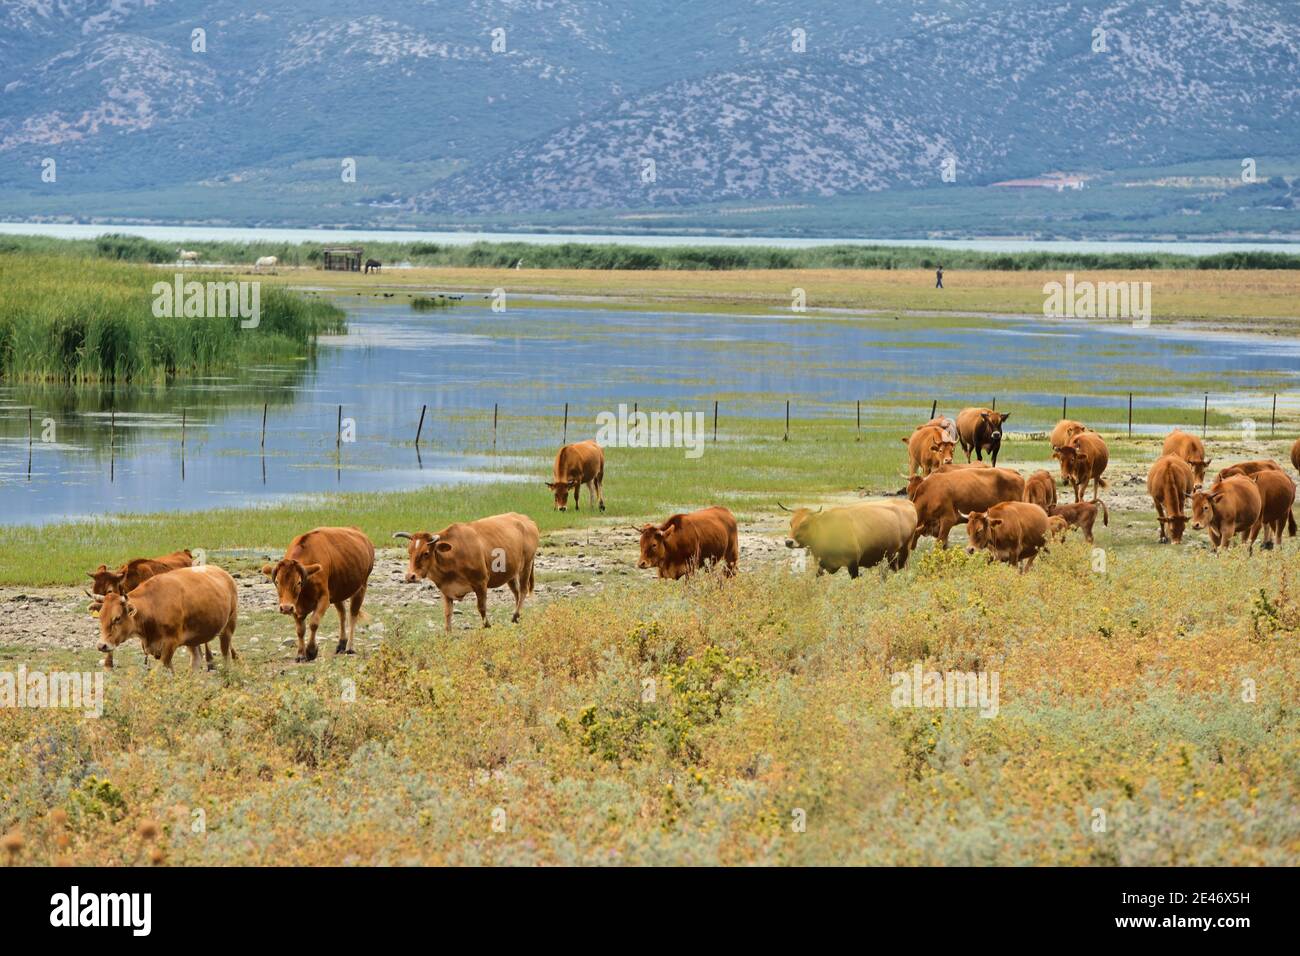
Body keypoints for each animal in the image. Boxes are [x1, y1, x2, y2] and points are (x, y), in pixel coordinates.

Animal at [92, 565, 238, 672]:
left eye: (117, 618)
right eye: (101, 618)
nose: (101, 645)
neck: (153, 604)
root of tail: (222, 572)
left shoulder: (170, 644)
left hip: (228, 626)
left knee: (226, 655)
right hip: (193, 638)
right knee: (196, 660)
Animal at [261, 527, 375, 661]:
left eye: (299, 582)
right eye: (277, 581)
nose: (286, 608)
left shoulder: (324, 598)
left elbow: (314, 623)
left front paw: (311, 651)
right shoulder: (295, 605)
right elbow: (300, 630)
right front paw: (300, 654)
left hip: (361, 586)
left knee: (353, 615)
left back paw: (349, 647)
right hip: (337, 591)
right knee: (342, 614)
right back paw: (341, 644)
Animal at [395, 512, 539, 632]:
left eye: (426, 553)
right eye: (409, 552)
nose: (410, 576)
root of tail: (526, 519)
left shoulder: (481, 582)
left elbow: (481, 607)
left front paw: (487, 625)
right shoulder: (445, 588)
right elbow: (447, 613)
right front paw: (448, 633)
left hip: (527, 564)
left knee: (523, 590)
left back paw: (515, 616)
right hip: (511, 572)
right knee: (517, 593)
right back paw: (517, 616)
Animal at [782, 499, 917, 576]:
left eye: (804, 524)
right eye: (791, 523)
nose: (788, 542)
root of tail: (909, 503)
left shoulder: (853, 563)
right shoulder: (826, 563)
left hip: (905, 549)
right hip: (891, 555)